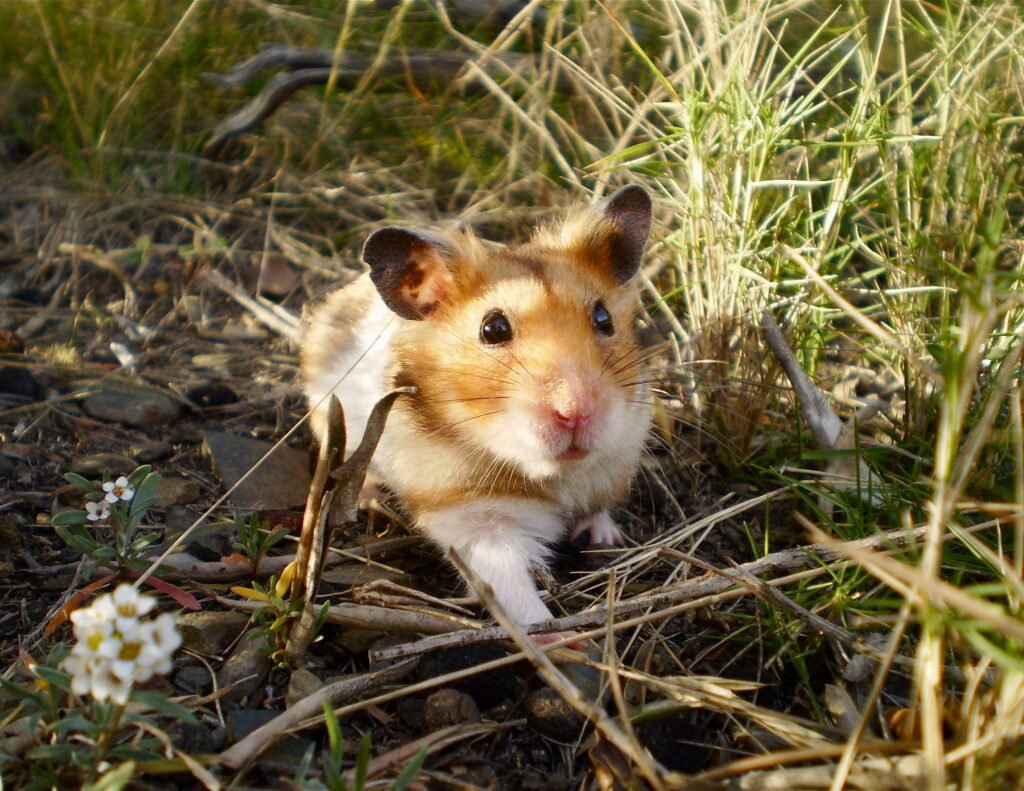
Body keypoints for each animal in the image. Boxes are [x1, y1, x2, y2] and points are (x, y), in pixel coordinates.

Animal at [302, 185, 653, 630]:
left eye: (604, 317)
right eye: (493, 328)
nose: (576, 411)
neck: (553, 477)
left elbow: (599, 508)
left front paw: (606, 538)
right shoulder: (474, 519)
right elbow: (509, 586)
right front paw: (560, 636)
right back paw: (368, 497)